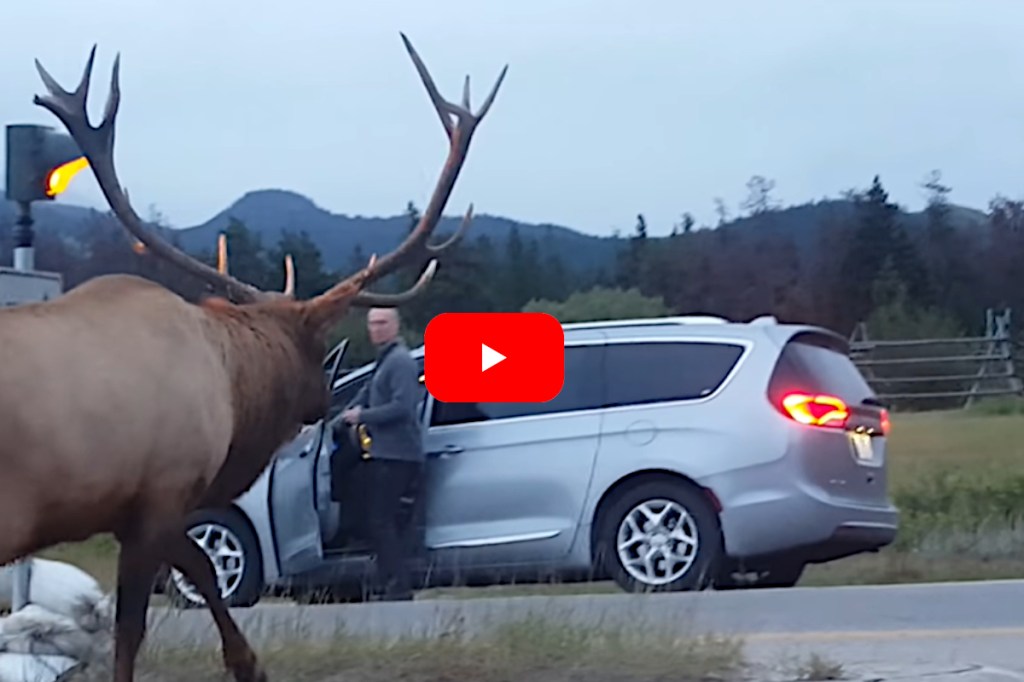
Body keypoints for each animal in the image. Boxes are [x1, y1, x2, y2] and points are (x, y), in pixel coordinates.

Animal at [0, 33, 506, 682]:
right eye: (316, 348)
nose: (326, 402)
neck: (232, 387)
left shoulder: (136, 506)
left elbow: (194, 573)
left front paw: (248, 663)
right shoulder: (162, 492)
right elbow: (142, 619)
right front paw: (245, 664)